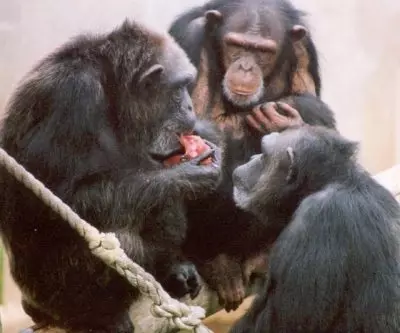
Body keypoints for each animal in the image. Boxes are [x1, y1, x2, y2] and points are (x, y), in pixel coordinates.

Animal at [0, 20, 222, 332]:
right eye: (179, 88)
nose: (190, 106)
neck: (112, 92)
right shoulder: (70, 95)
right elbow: (57, 199)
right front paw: (187, 173)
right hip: (46, 296)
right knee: (120, 238)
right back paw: (98, 316)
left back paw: (173, 271)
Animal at [168, 0, 334, 312]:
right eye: (236, 45)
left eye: (263, 51)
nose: (245, 66)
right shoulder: (189, 40)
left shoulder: (304, 50)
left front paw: (287, 120)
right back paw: (215, 264)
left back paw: (261, 257)